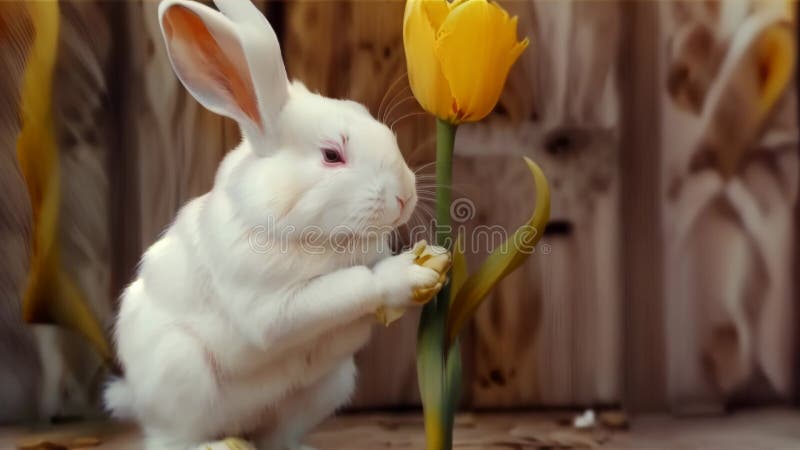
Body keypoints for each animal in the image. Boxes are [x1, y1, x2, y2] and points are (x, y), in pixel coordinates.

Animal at [103, 1, 449, 449]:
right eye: (332, 155)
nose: (404, 195)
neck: (321, 240)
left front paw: (431, 264)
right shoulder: (271, 308)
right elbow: (350, 286)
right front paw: (411, 272)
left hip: (329, 384)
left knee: (276, 436)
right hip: (181, 373)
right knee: (172, 439)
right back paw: (222, 444)